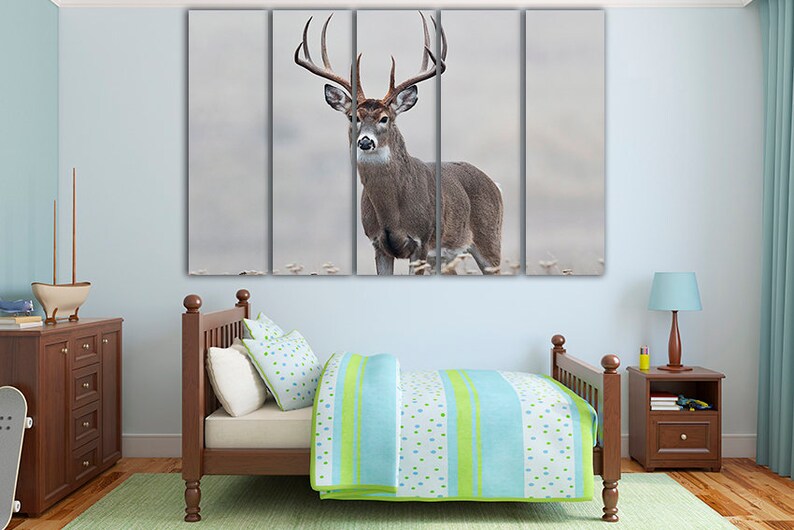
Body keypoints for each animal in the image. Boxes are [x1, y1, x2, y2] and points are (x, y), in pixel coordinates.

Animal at [295, 14, 503, 275]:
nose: (365, 141)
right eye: (353, 117)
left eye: (385, 118)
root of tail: (494, 185)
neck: (392, 213)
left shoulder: (421, 242)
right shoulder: (378, 244)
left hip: (490, 240)